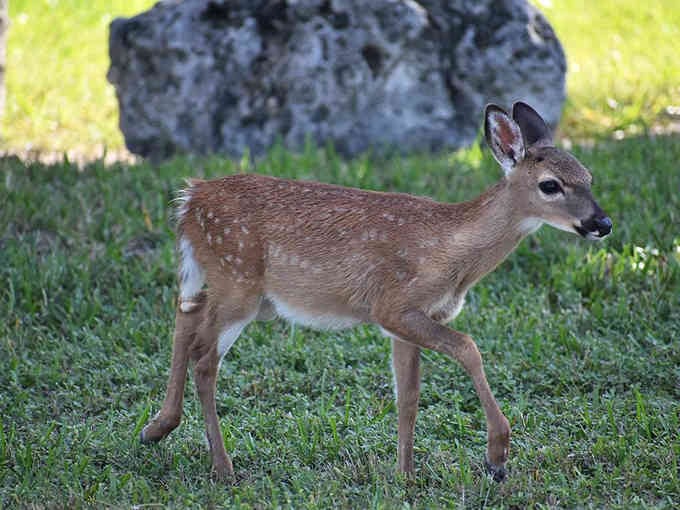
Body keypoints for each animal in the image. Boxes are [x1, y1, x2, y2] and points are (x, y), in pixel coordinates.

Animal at [139, 102, 612, 482]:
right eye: (550, 184)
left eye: (589, 177)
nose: (602, 223)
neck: (449, 252)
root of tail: (189, 199)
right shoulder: (394, 305)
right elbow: (468, 348)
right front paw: (496, 456)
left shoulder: (406, 323)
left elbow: (409, 397)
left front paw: (406, 475)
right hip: (239, 281)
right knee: (204, 359)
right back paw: (223, 468)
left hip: (239, 289)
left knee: (186, 312)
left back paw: (157, 428)